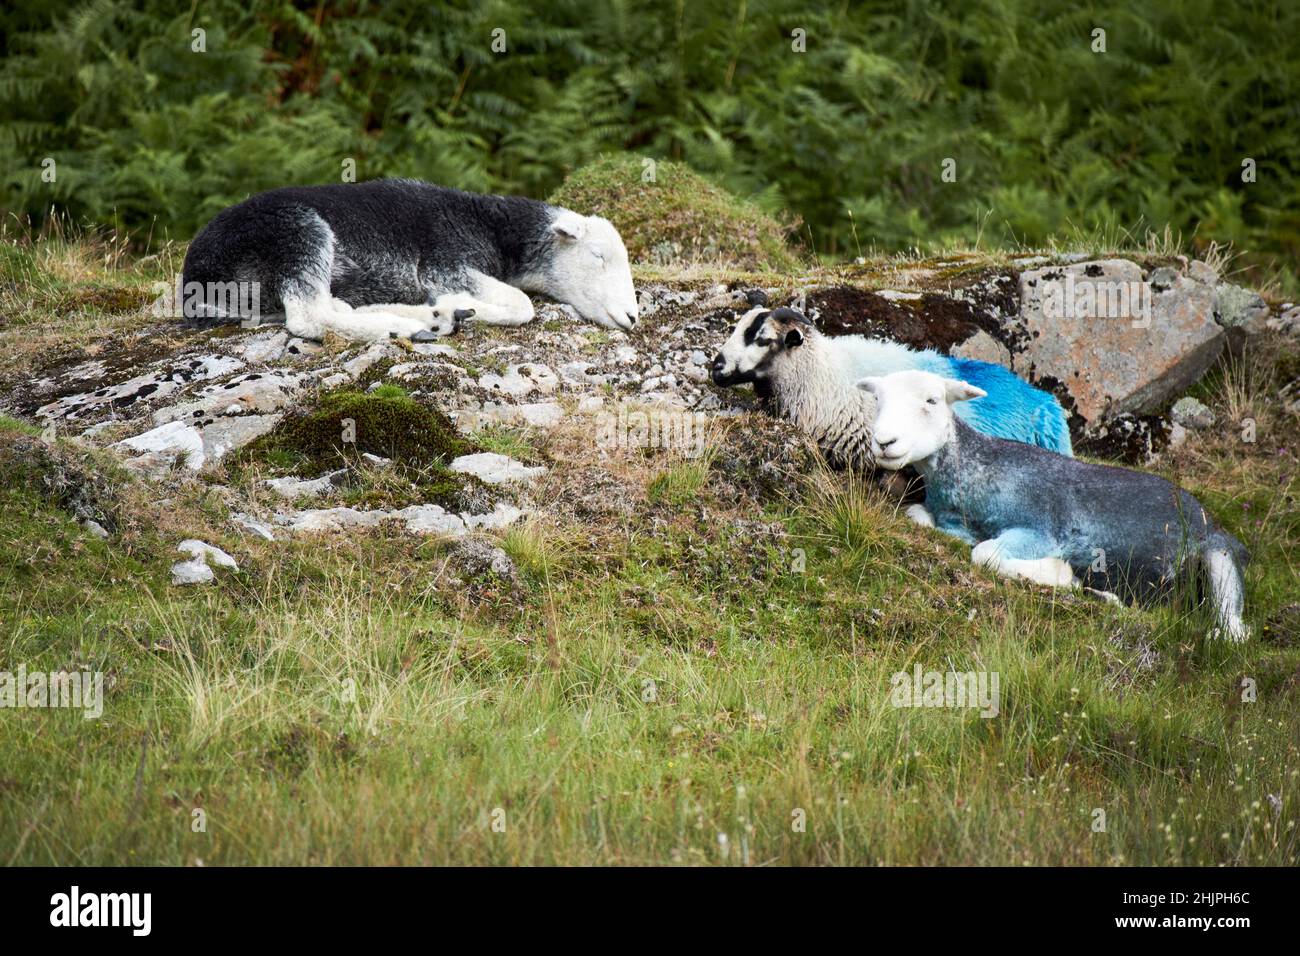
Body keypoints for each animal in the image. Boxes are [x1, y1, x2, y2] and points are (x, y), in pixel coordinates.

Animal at [181, 178, 638, 342]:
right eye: (597, 256)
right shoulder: (444, 264)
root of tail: (196, 279)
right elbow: (523, 305)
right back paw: (414, 324)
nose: (633, 317)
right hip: (296, 233)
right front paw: (458, 307)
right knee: (309, 316)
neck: (491, 224)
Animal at [858, 369, 1250, 640]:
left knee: (1234, 628)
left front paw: (1059, 574)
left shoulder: (1042, 531)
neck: (975, 470)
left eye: (932, 401)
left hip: (1219, 555)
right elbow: (919, 516)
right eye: (878, 401)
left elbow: (983, 554)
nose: (884, 442)